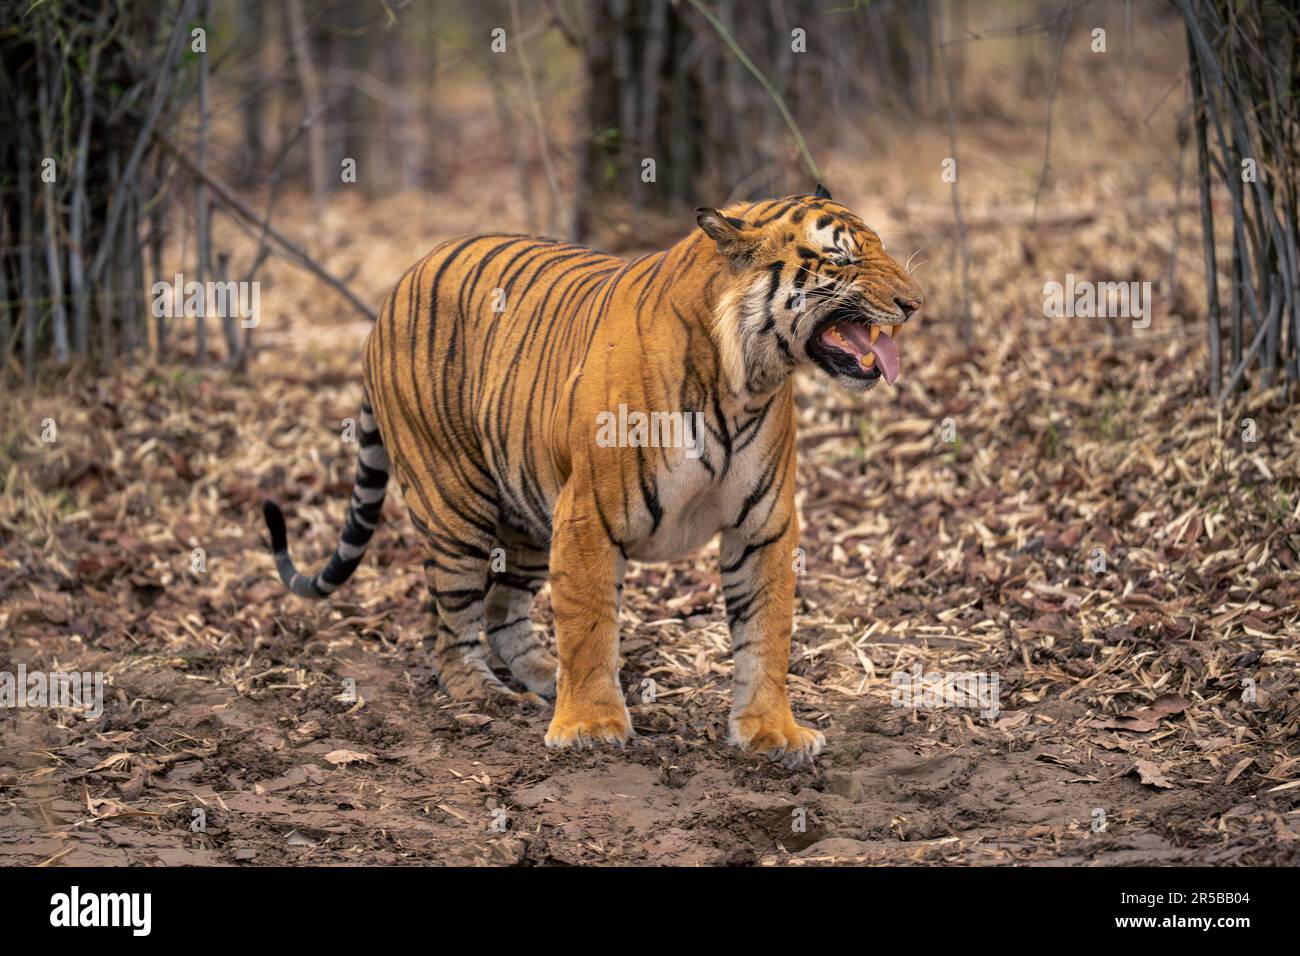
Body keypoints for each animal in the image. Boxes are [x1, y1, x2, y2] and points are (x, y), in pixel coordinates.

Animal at [263, 184, 923, 767]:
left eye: (881, 247)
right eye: (840, 258)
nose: (915, 303)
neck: (745, 380)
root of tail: (400, 281)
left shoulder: (764, 524)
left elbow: (766, 633)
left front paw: (771, 732)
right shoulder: (588, 514)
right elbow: (588, 621)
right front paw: (590, 726)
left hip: (527, 511)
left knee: (505, 612)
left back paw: (539, 675)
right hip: (454, 502)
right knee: (452, 622)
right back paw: (484, 694)